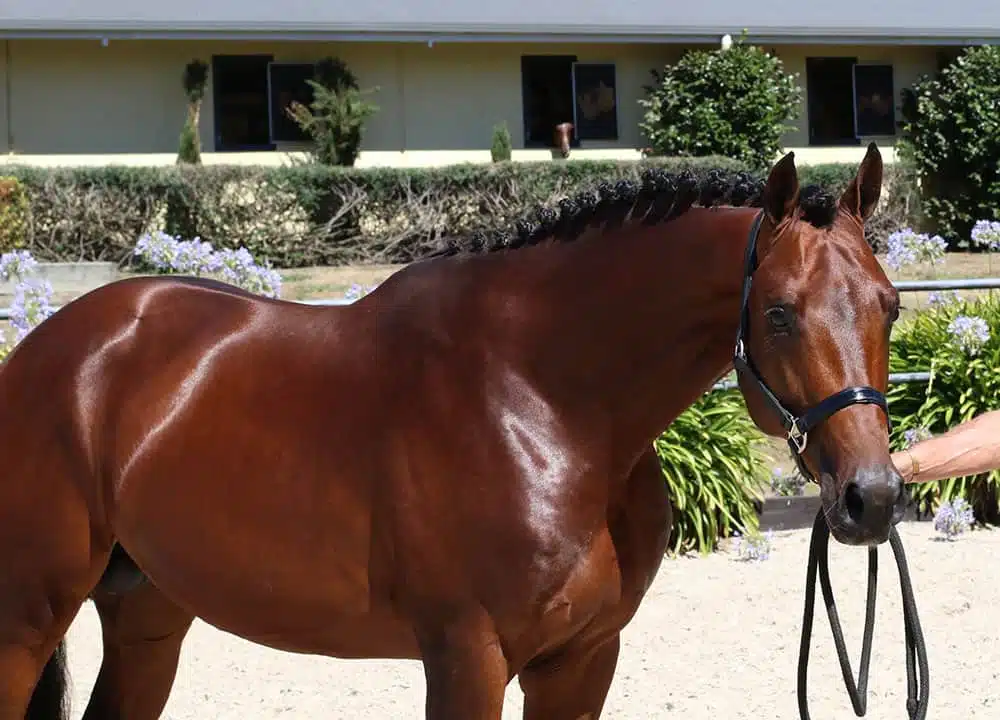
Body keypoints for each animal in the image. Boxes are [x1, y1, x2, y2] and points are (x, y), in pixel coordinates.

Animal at [1, 143, 905, 720]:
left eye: (889, 305)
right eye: (779, 313)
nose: (873, 497)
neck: (544, 400)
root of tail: (49, 350)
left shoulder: (581, 661)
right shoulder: (469, 658)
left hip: (148, 615)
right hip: (27, 619)